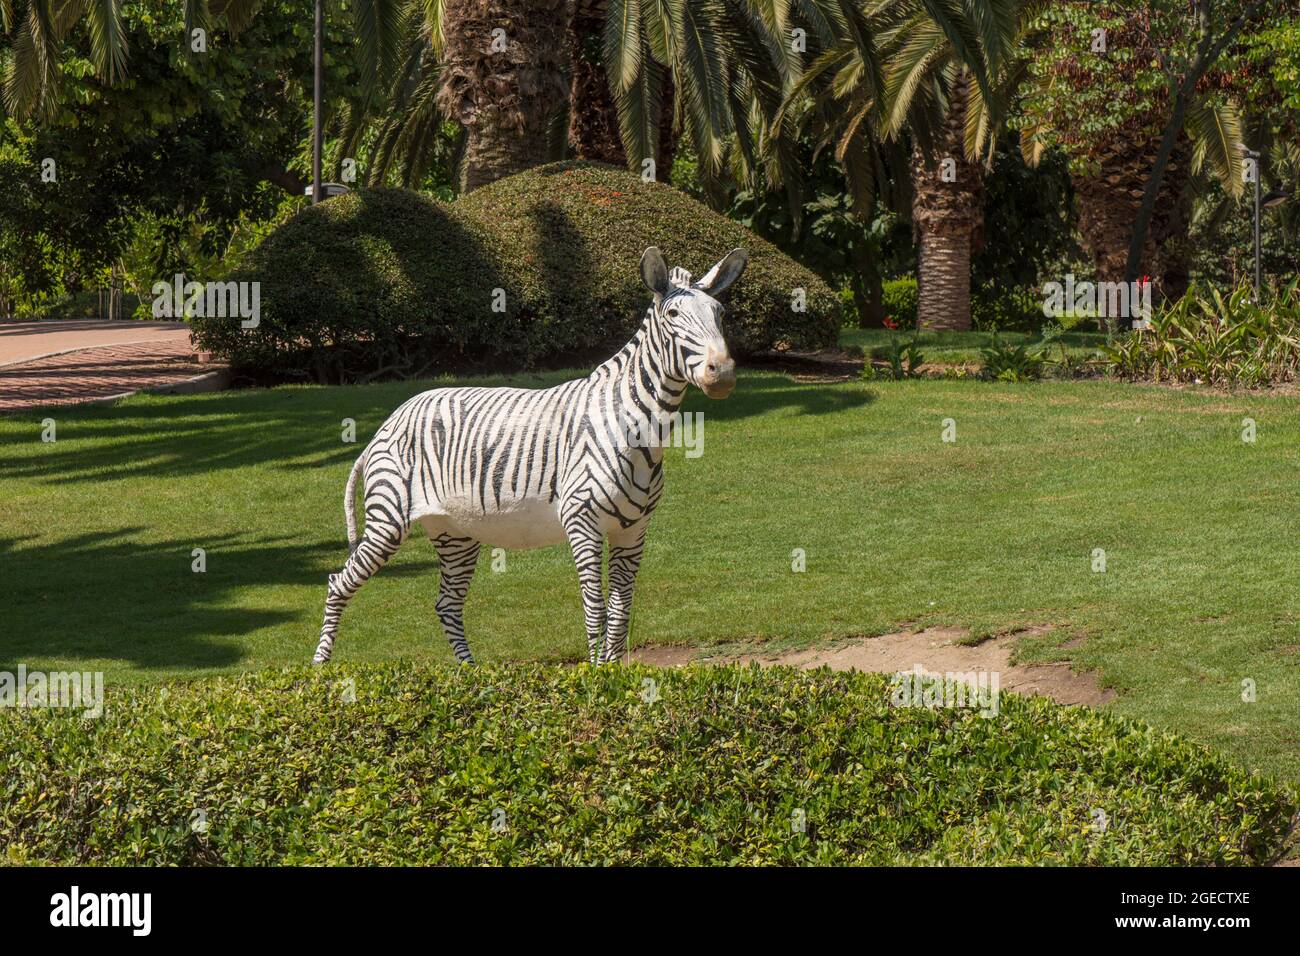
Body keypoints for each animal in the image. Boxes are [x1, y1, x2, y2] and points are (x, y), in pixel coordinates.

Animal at [312, 245, 748, 666]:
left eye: (721, 314)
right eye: (673, 315)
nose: (722, 372)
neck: (633, 425)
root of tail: (390, 419)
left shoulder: (633, 530)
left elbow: (621, 613)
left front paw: (615, 673)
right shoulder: (582, 522)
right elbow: (595, 609)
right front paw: (596, 674)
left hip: (455, 531)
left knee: (447, 604)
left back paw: (470, 673)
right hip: (387, 521)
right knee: (338, 584)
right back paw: (321, 668)